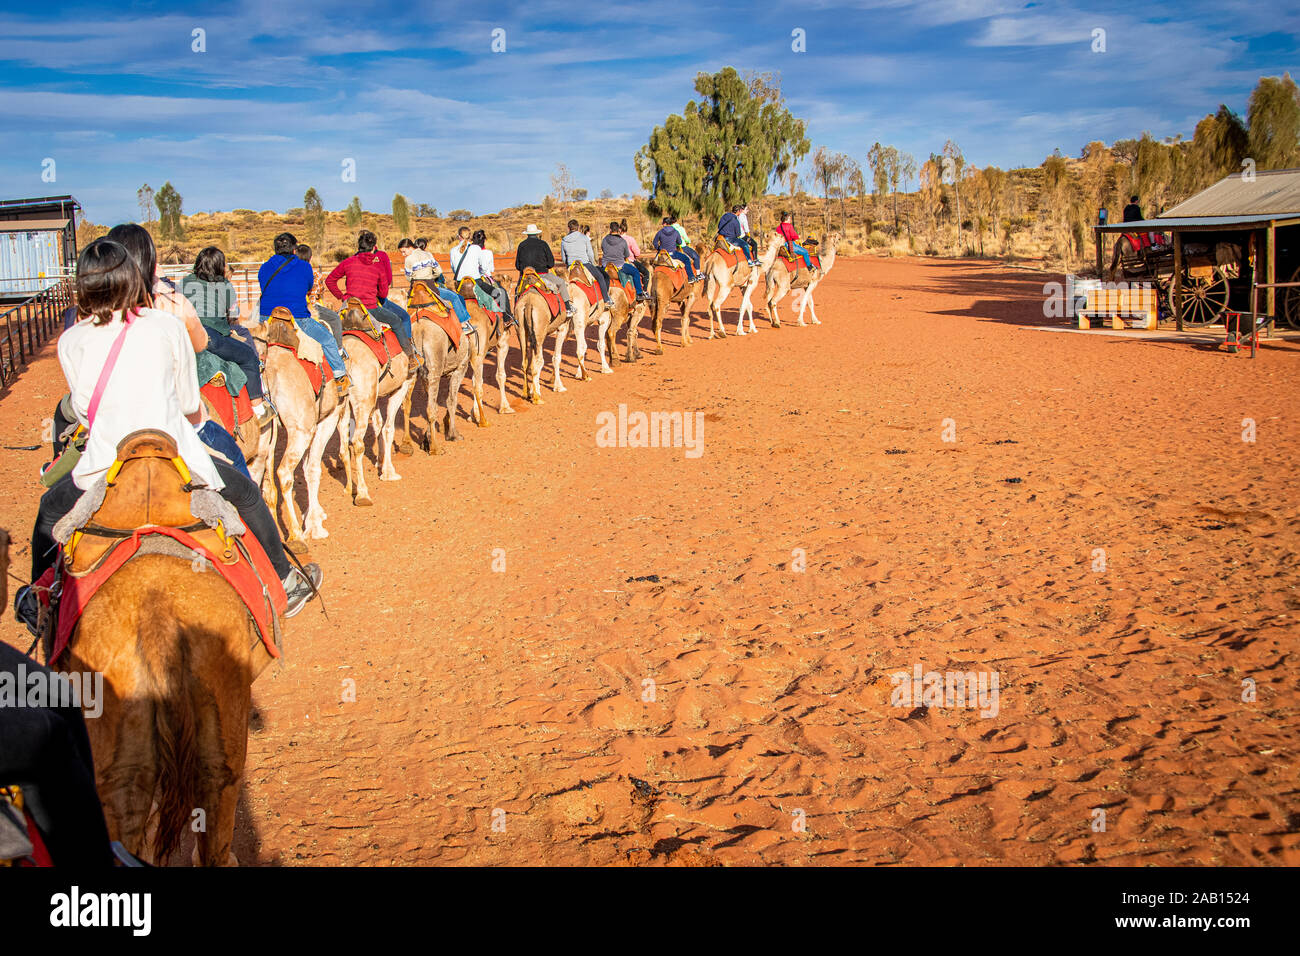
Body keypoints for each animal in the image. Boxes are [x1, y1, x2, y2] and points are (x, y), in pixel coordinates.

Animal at [337, 298, 414, 506]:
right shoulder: (400, 387)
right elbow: (388, 428)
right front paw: (389, 472)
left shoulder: (377, 397)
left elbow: (378, 426)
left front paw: (380, 462)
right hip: (363, 402)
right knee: (357, 442)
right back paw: (363, 494)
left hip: (343, 406)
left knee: (343, 444)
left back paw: (349, 488)